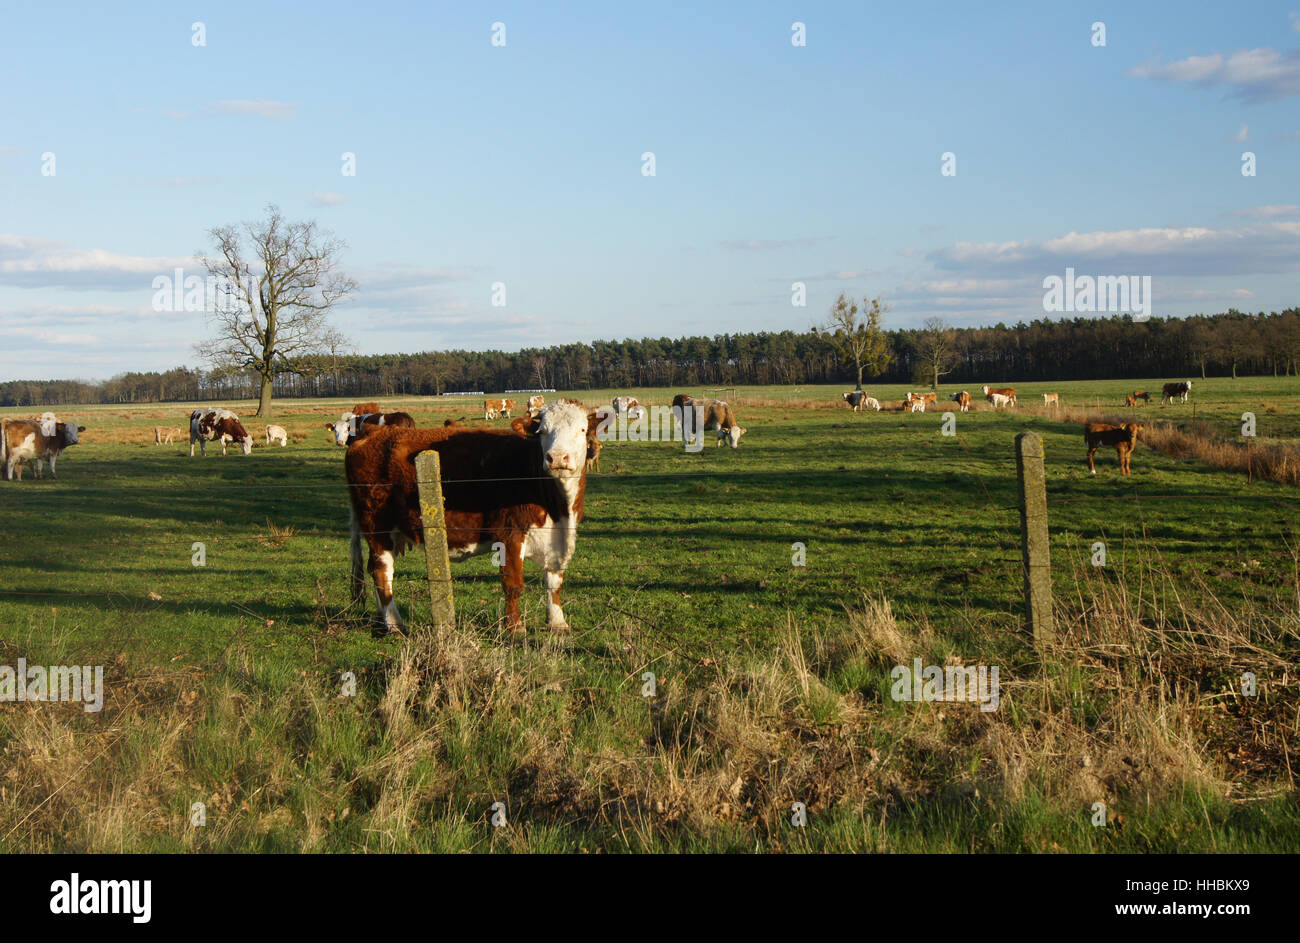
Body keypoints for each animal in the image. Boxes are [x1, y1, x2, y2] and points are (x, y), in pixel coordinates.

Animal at [346, 401, 596, 634]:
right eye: (542, 431)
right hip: (376, 525)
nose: (557, 458)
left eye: (582, 429)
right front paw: (515, 627)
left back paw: (382, 618)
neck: (558, 508)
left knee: (373, 568)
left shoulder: (559, 537)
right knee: (382, 571)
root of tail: (372, 432)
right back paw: (394, 624)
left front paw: (558, 623)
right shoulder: (510, 533)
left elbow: (554, 581)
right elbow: (513, 583)